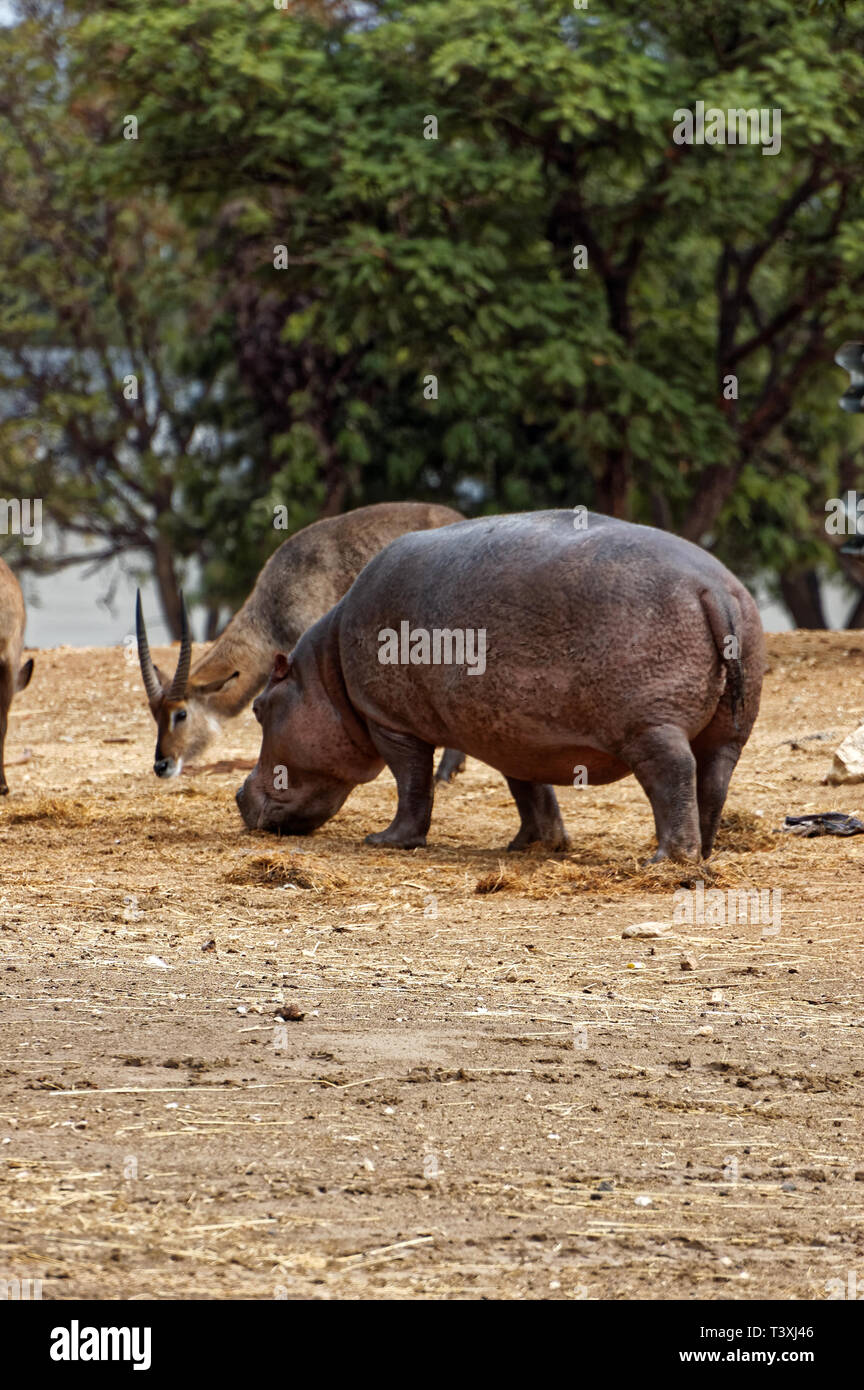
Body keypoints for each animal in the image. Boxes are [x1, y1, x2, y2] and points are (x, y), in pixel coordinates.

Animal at [236, 511, 764, 861]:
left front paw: (385, 841)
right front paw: (533, 845)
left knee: (674, 773)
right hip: (727, 731)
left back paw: (666, 860)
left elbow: (412, 784)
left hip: (649, 726)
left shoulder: (390, 722)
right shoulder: (515, 732)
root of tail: (713, 587)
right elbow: (529, 791)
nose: (239, 796)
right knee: (712, 779)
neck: (326, 675)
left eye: (260, 709)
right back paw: (705, 853)